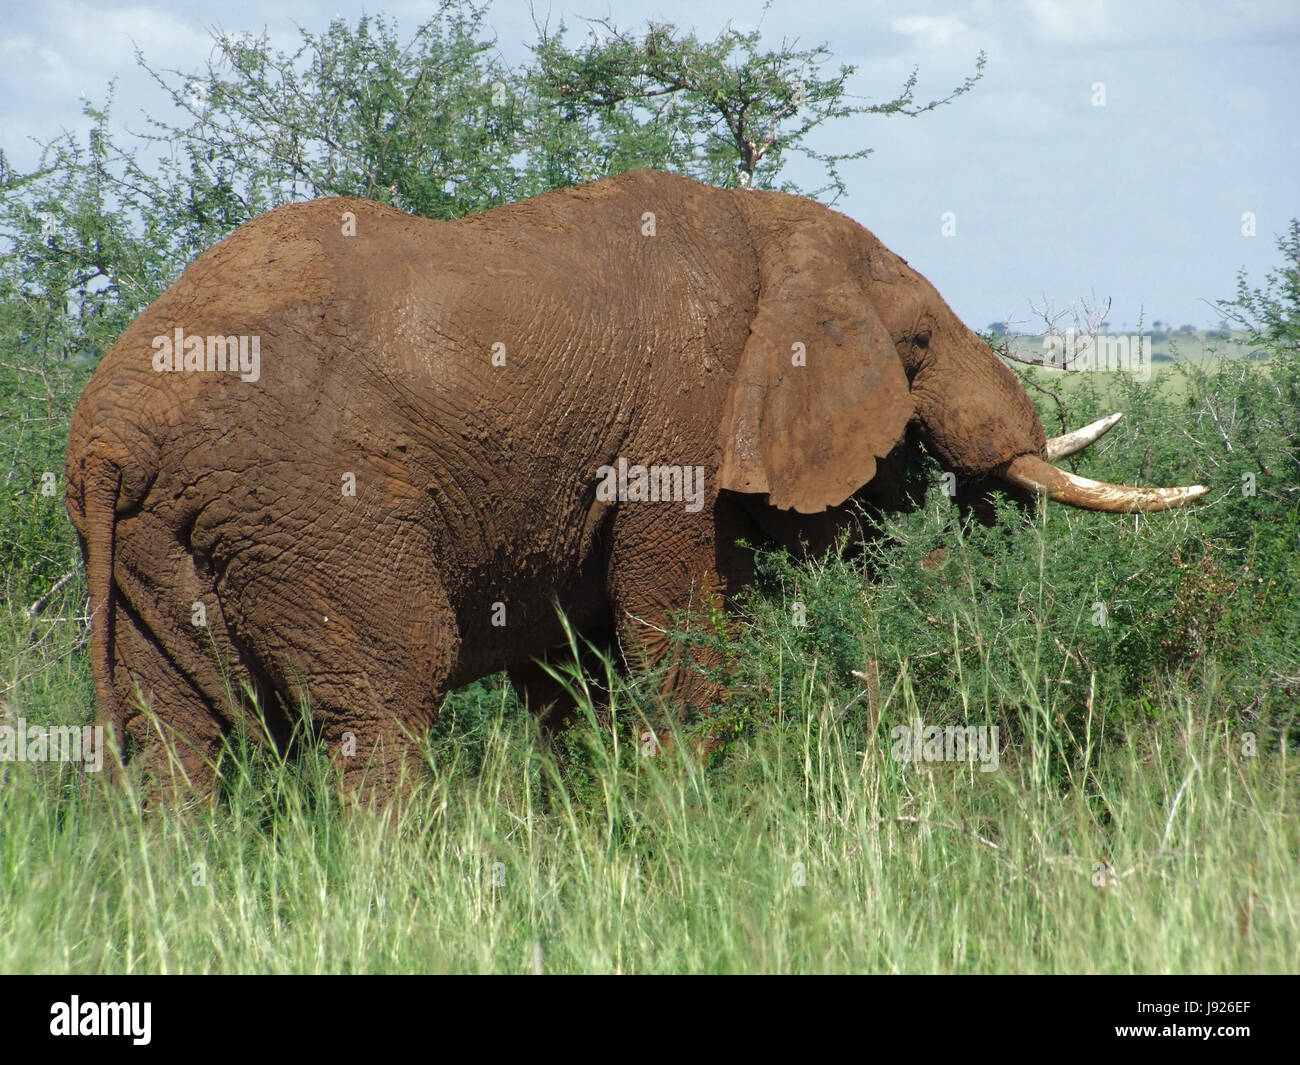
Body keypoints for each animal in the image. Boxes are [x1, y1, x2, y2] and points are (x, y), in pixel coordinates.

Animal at [64, 168, 1206, 801]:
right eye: (919, 343)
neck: (762, 223)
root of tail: (111, 433)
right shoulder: (682, 423)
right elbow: (677, 631)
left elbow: (574, 670)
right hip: (315, 511)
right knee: (386, 699)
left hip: (160, 544)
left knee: (177, 742)